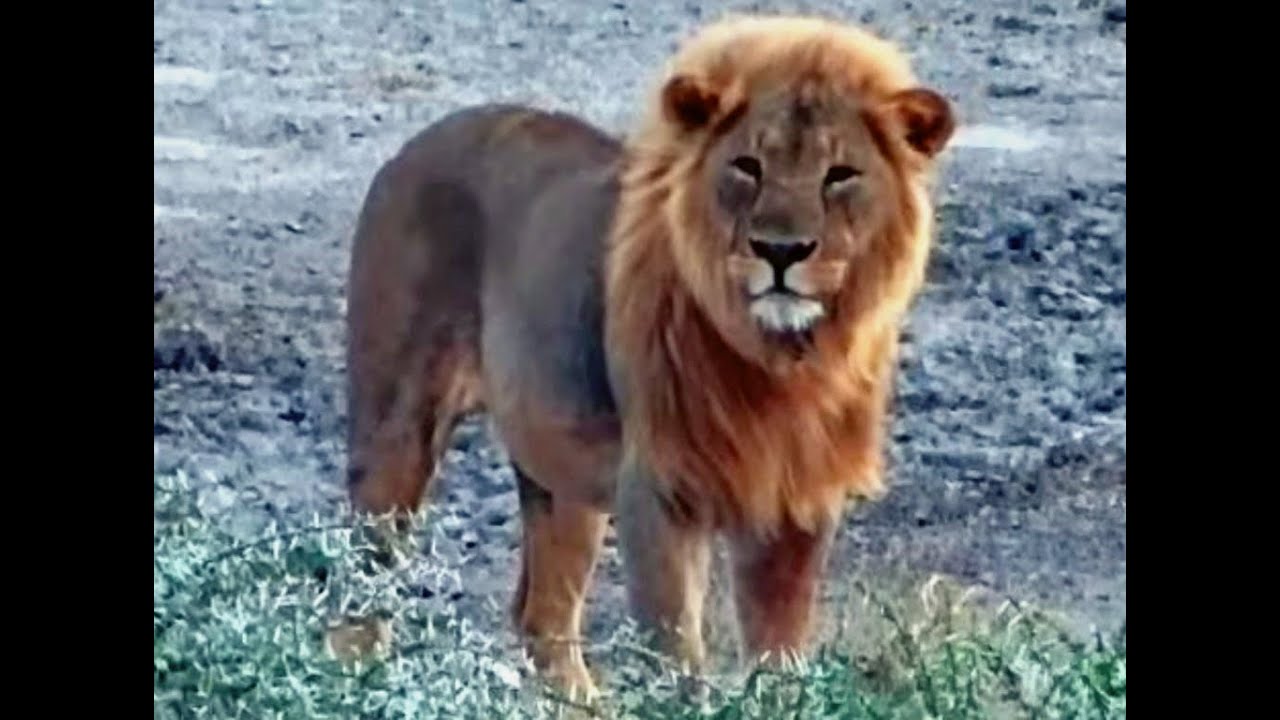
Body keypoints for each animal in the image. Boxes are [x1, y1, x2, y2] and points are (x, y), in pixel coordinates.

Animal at [344, 15, 955, 700]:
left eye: (840, 175)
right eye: (747, 167)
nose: (780, 251)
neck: (779, 358)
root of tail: (414, 144)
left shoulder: (798, 504)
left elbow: (779, 652)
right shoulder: (659, 491)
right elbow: (676, 655)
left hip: (559, 469)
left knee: (542, 618)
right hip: (395, 434)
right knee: (353, 584)